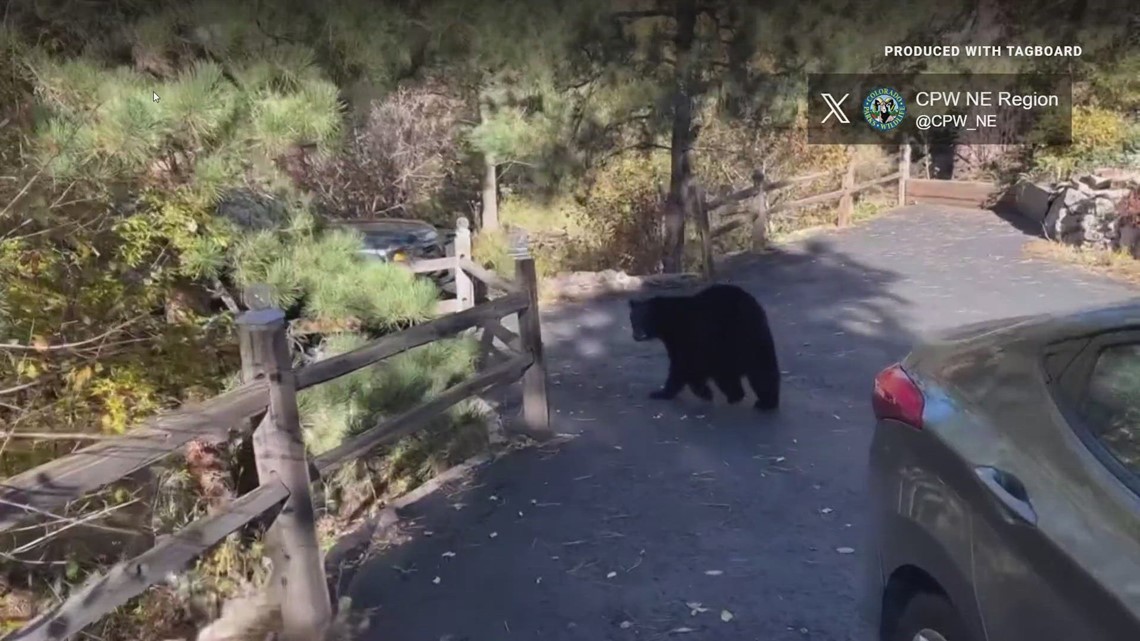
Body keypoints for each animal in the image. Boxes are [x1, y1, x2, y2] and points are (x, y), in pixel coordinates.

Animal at [628, 283, 779, 411]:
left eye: (644, 318)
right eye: (633, 320)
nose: (637, 335)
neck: (669, 322)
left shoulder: (690, 336)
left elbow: (682, 365)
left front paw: (661, 393)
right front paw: (705, 392)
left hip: (741, 337)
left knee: (759, 370)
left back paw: (764, 403)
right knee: (743, 372)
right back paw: (738, 396)